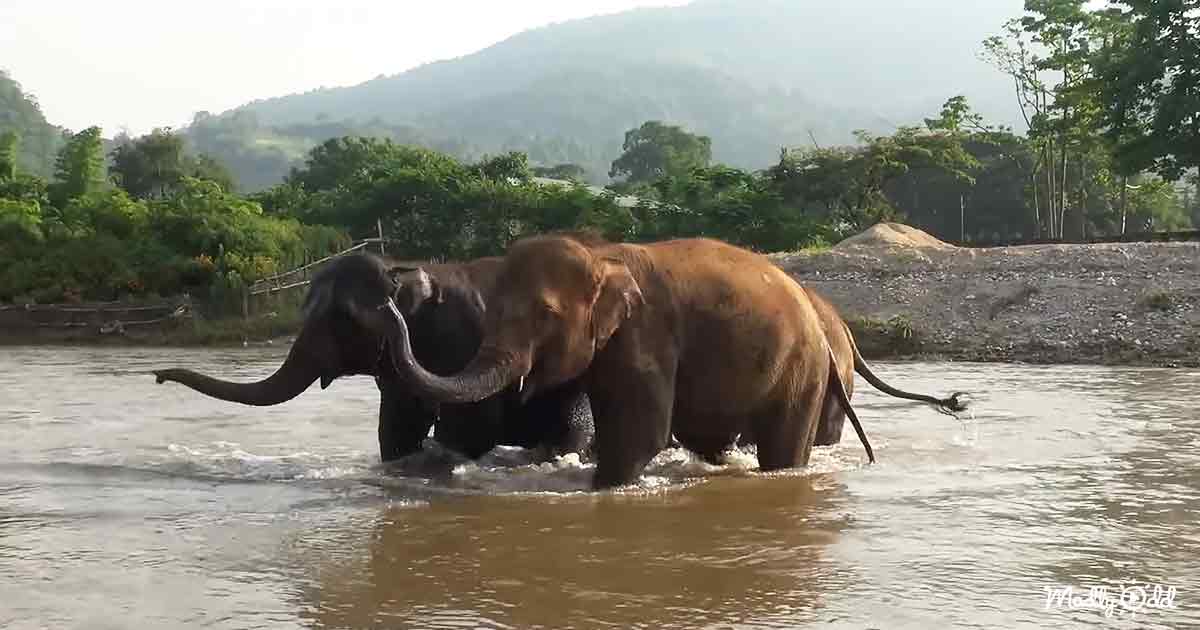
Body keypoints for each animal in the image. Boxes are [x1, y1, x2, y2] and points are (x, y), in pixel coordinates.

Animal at [150, 252, 594, 463]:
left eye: (342, 318)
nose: (156, 376)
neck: (408, 266)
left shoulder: (465, 342)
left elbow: (469, 430)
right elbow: (397, 428)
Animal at [375, 233, 875, 489]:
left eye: (545, 315)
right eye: (492, 310)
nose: (389, 300)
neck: (601, 256)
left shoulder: (648, 334)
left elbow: (640, 434)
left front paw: (604, 490)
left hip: (803, 370)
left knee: (782, 448)